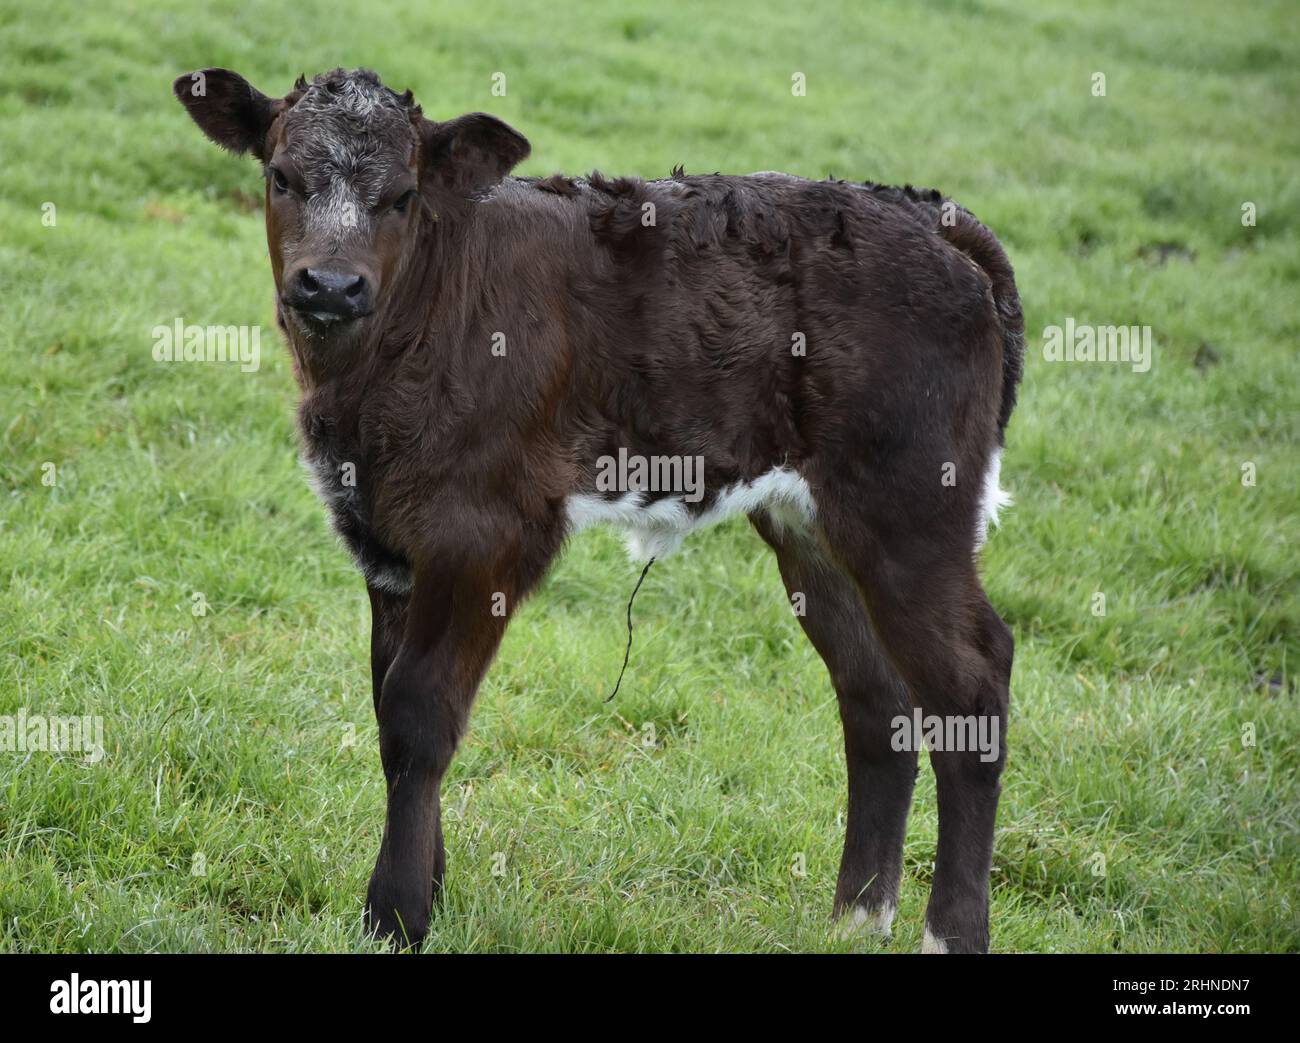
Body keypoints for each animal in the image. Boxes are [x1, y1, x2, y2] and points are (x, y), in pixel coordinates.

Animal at [173, 66, 1023, 953]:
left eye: (403, 195)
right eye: (281, 177)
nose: (332, 285)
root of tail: (929, 214)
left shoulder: (484, 530)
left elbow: (417, 712)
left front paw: (396, 913)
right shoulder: (388, 541)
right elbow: (387, 707)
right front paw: (428, 888)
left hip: (910, 503)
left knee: (972, 684)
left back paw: (950, 931)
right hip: (812, 519)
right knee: (875, 693)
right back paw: (856, 915)